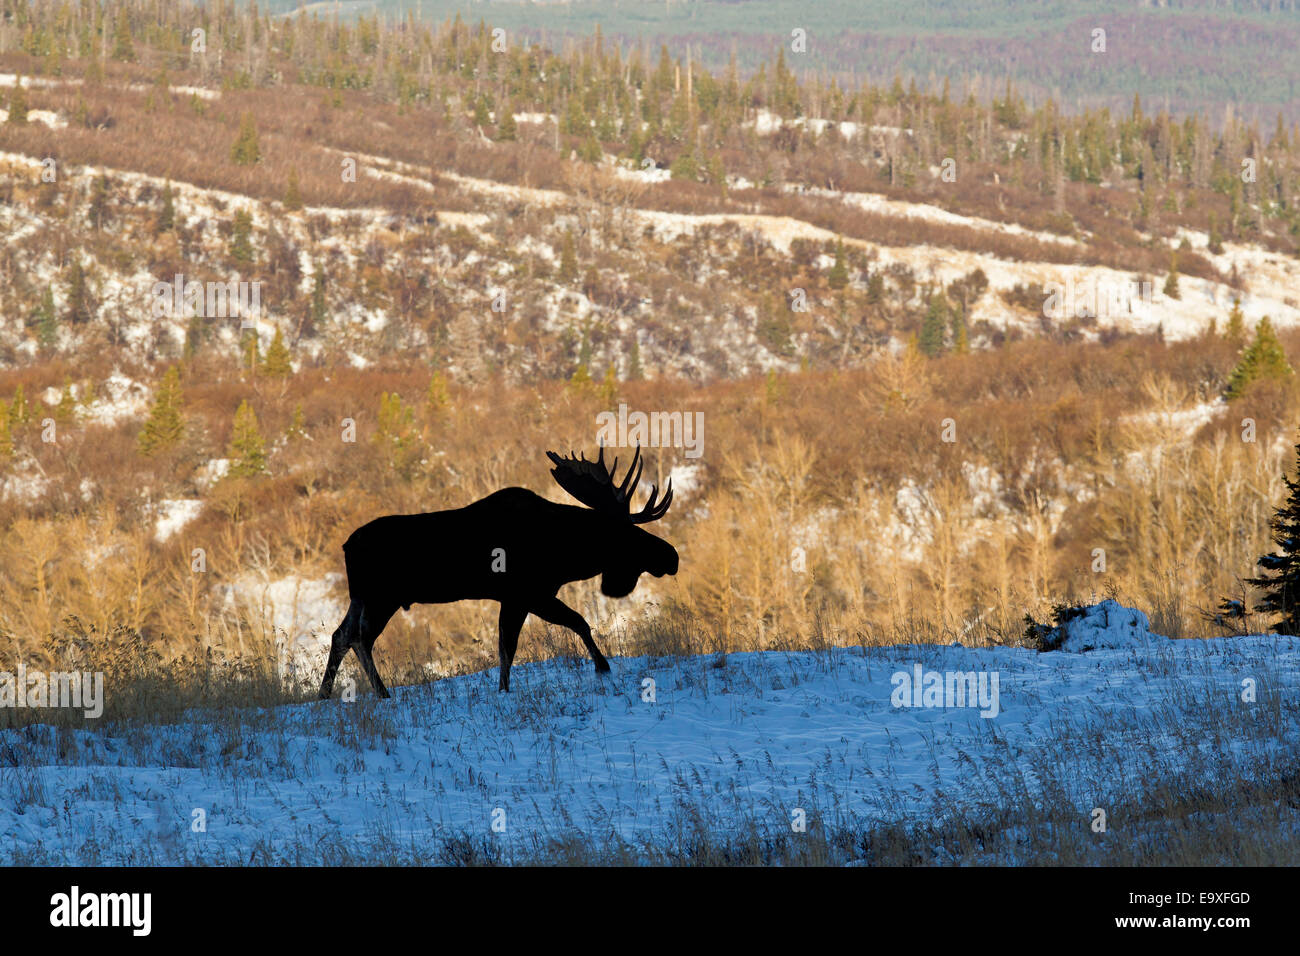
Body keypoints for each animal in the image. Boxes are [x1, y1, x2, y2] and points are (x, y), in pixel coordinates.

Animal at [318, 444, 678, 699]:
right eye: (628, 533)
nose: (671, 556)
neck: (564, 552)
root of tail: (346, 546)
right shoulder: (530, 592)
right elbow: (576, 622)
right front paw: (603, 666)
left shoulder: (515, 598)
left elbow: (507, 646)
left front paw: (503, 689)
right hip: (382, 597)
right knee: (361, 638)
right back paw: (382, 693)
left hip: (361, 597)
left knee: (340, 635)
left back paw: (324, 695)